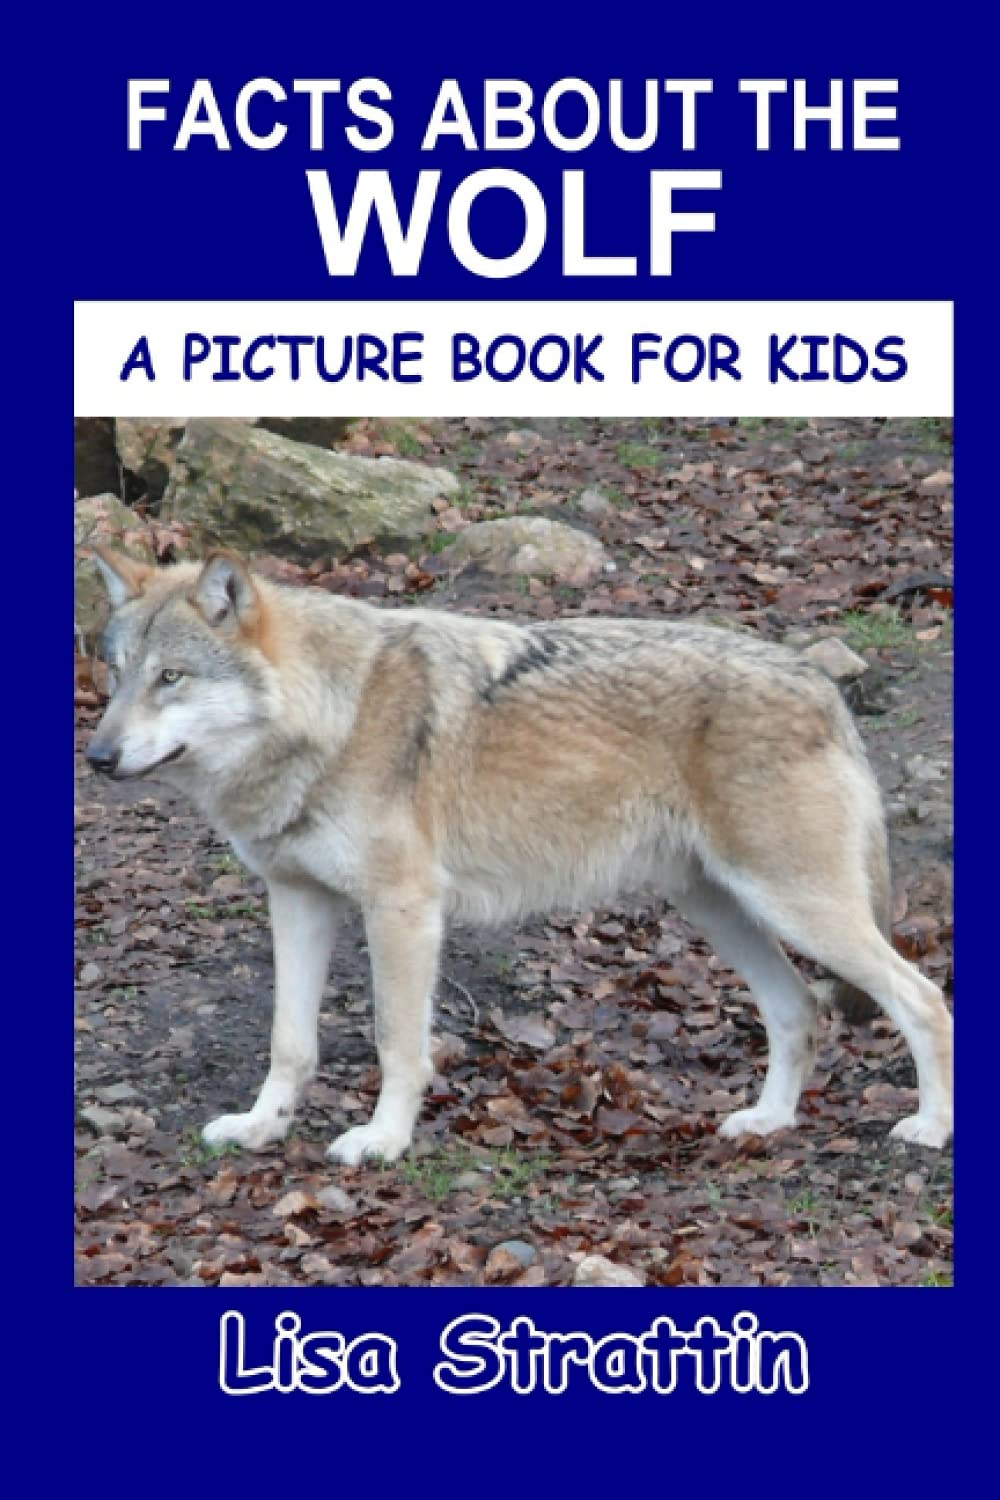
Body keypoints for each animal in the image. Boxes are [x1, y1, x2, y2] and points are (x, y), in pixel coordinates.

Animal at [82, 547, 953, 1164]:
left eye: (172, 678)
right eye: (116, 676)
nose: (97, 756)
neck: (333, 714)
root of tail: (821, 684)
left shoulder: (402, 910)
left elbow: (398, 1042)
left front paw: (383, 1141)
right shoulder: (297, 901)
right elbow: (289, 1042)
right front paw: (264, 1127)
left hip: (796, 906)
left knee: (923, 999)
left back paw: (929, 1128)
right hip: (721, 908)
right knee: (798, 1009)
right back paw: (769, 1121)